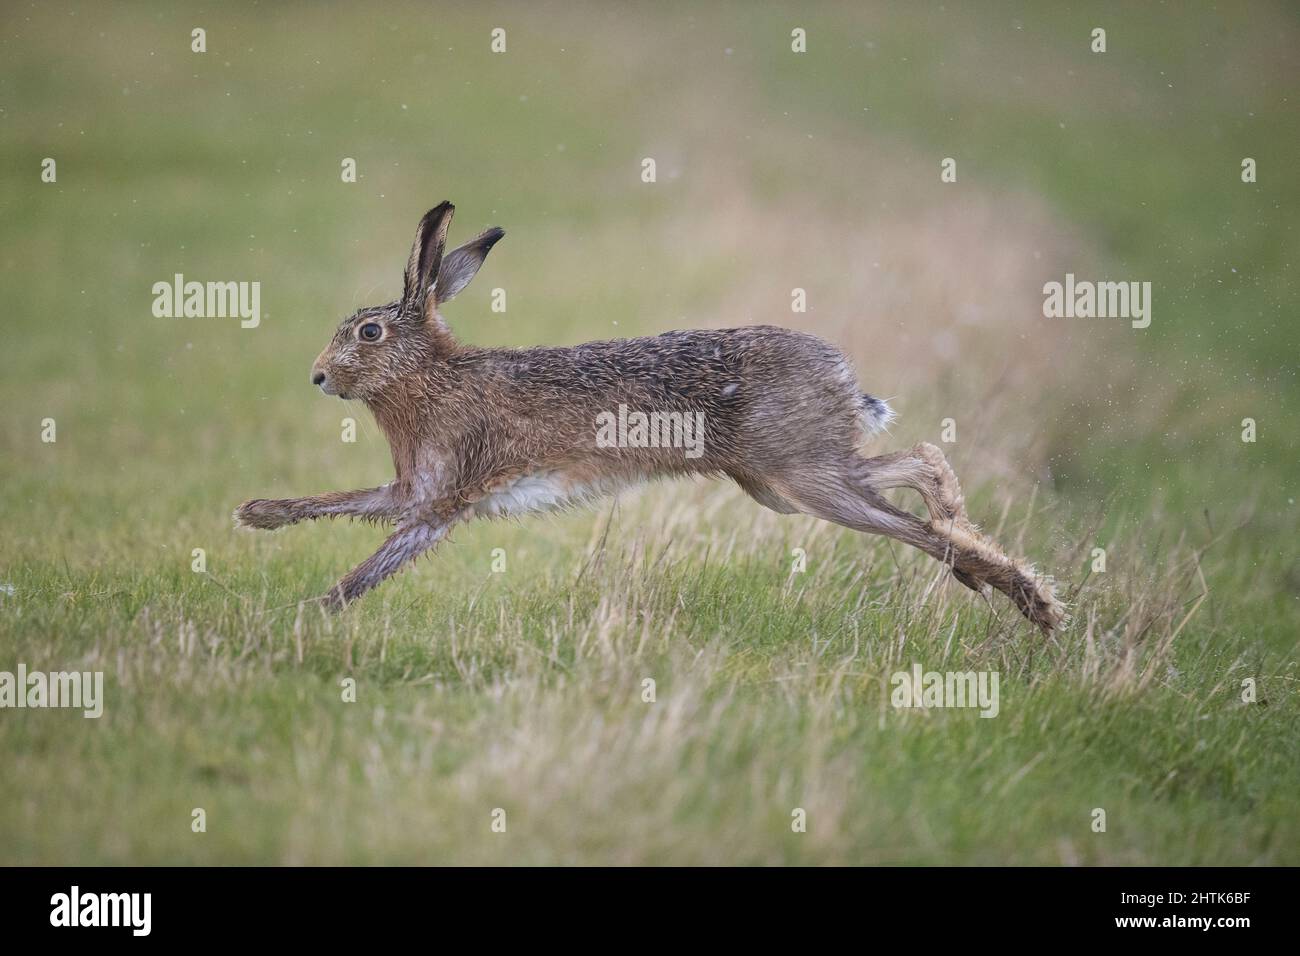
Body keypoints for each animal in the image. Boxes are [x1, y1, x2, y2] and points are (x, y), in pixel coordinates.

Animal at [235, 202, 1065, 633]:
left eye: (370, 333)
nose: (317, 376)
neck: (429, 377)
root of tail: (842, 375)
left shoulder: (441, 496)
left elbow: (376, 558)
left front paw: (308, 610)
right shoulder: (417, 491)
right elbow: (344, 504)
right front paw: (259, 515)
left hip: (801, 474)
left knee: (912, 503)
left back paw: (1027, 598)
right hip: (783, 480)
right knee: (914, 468)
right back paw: (979, 558)